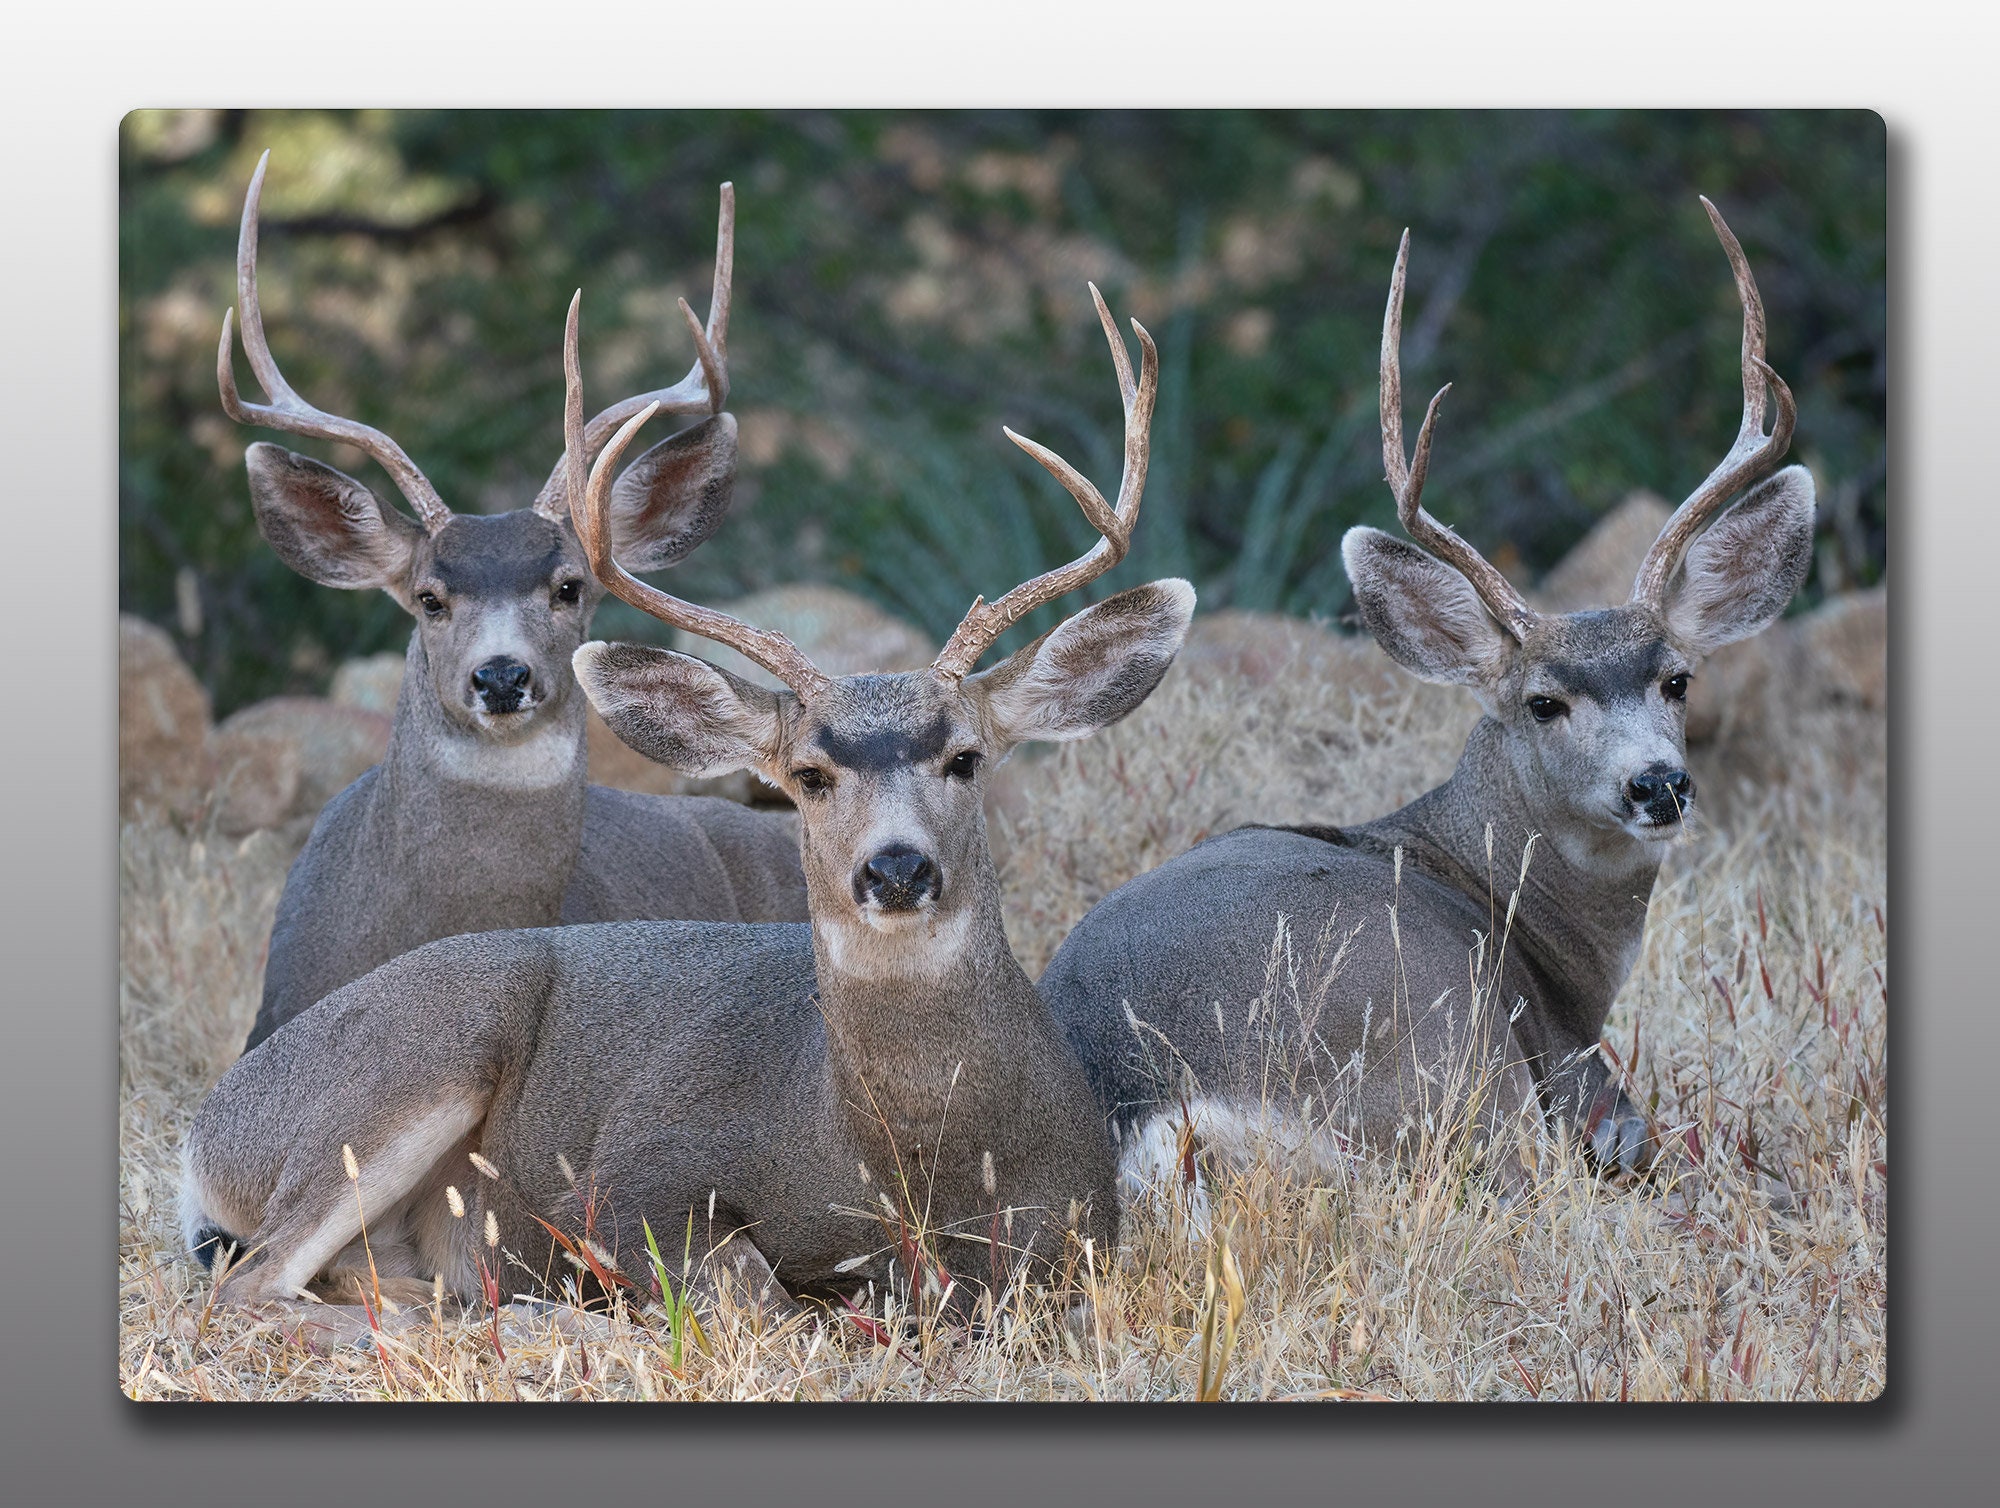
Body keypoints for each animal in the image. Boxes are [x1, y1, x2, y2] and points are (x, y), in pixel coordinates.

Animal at [179, 285, 1194, 1328]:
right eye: (809, 774)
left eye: (966, 758)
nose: (897, 867)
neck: (906, 1161)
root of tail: (205, 1132)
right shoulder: (632, 1178)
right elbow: (757, 1294)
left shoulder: (1080, 1225)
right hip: (410, 1064)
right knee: (250, 1285)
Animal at [1041, 199, 1816, 1200]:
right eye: (1543, 703)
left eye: (1676, 679)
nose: (1658, 784)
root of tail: (1144, 1092)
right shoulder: (1580, 1076)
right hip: (1456, 1058)